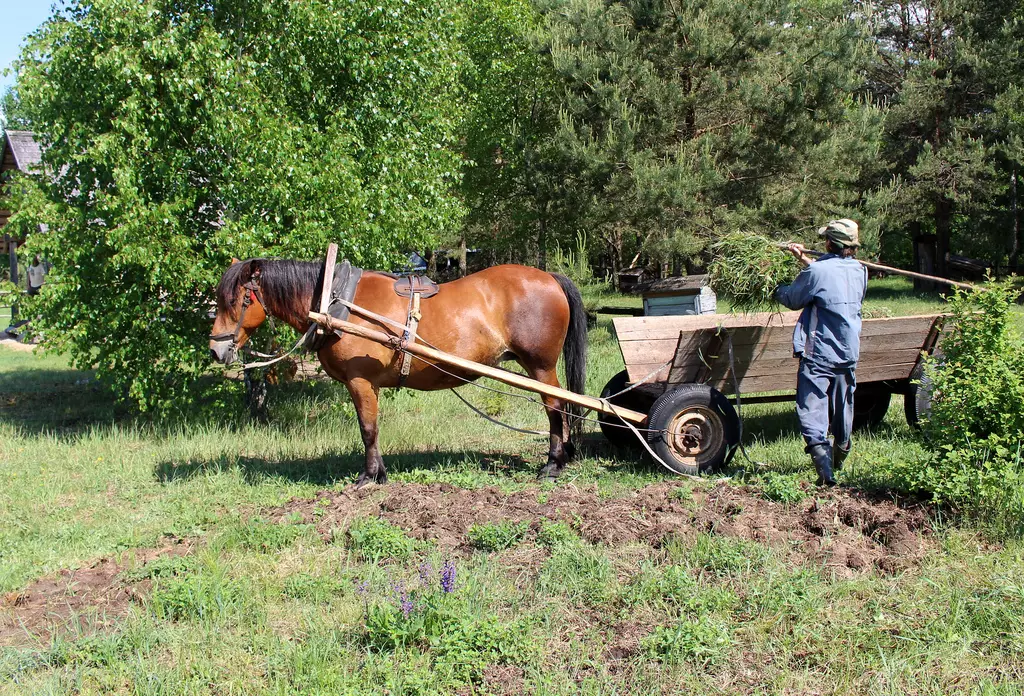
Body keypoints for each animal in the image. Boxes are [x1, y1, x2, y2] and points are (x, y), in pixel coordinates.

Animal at [209, 257, 585, 487]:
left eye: (237, 300)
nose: (216, 349)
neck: (336, 302)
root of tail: (549, 277)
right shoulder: (367, 384)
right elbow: (371, 428)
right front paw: (380, 473)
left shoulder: (359, 380)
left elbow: (367, 428)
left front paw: (369, 477)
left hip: (540, 365)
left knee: (555, 408)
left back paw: (553, 464)